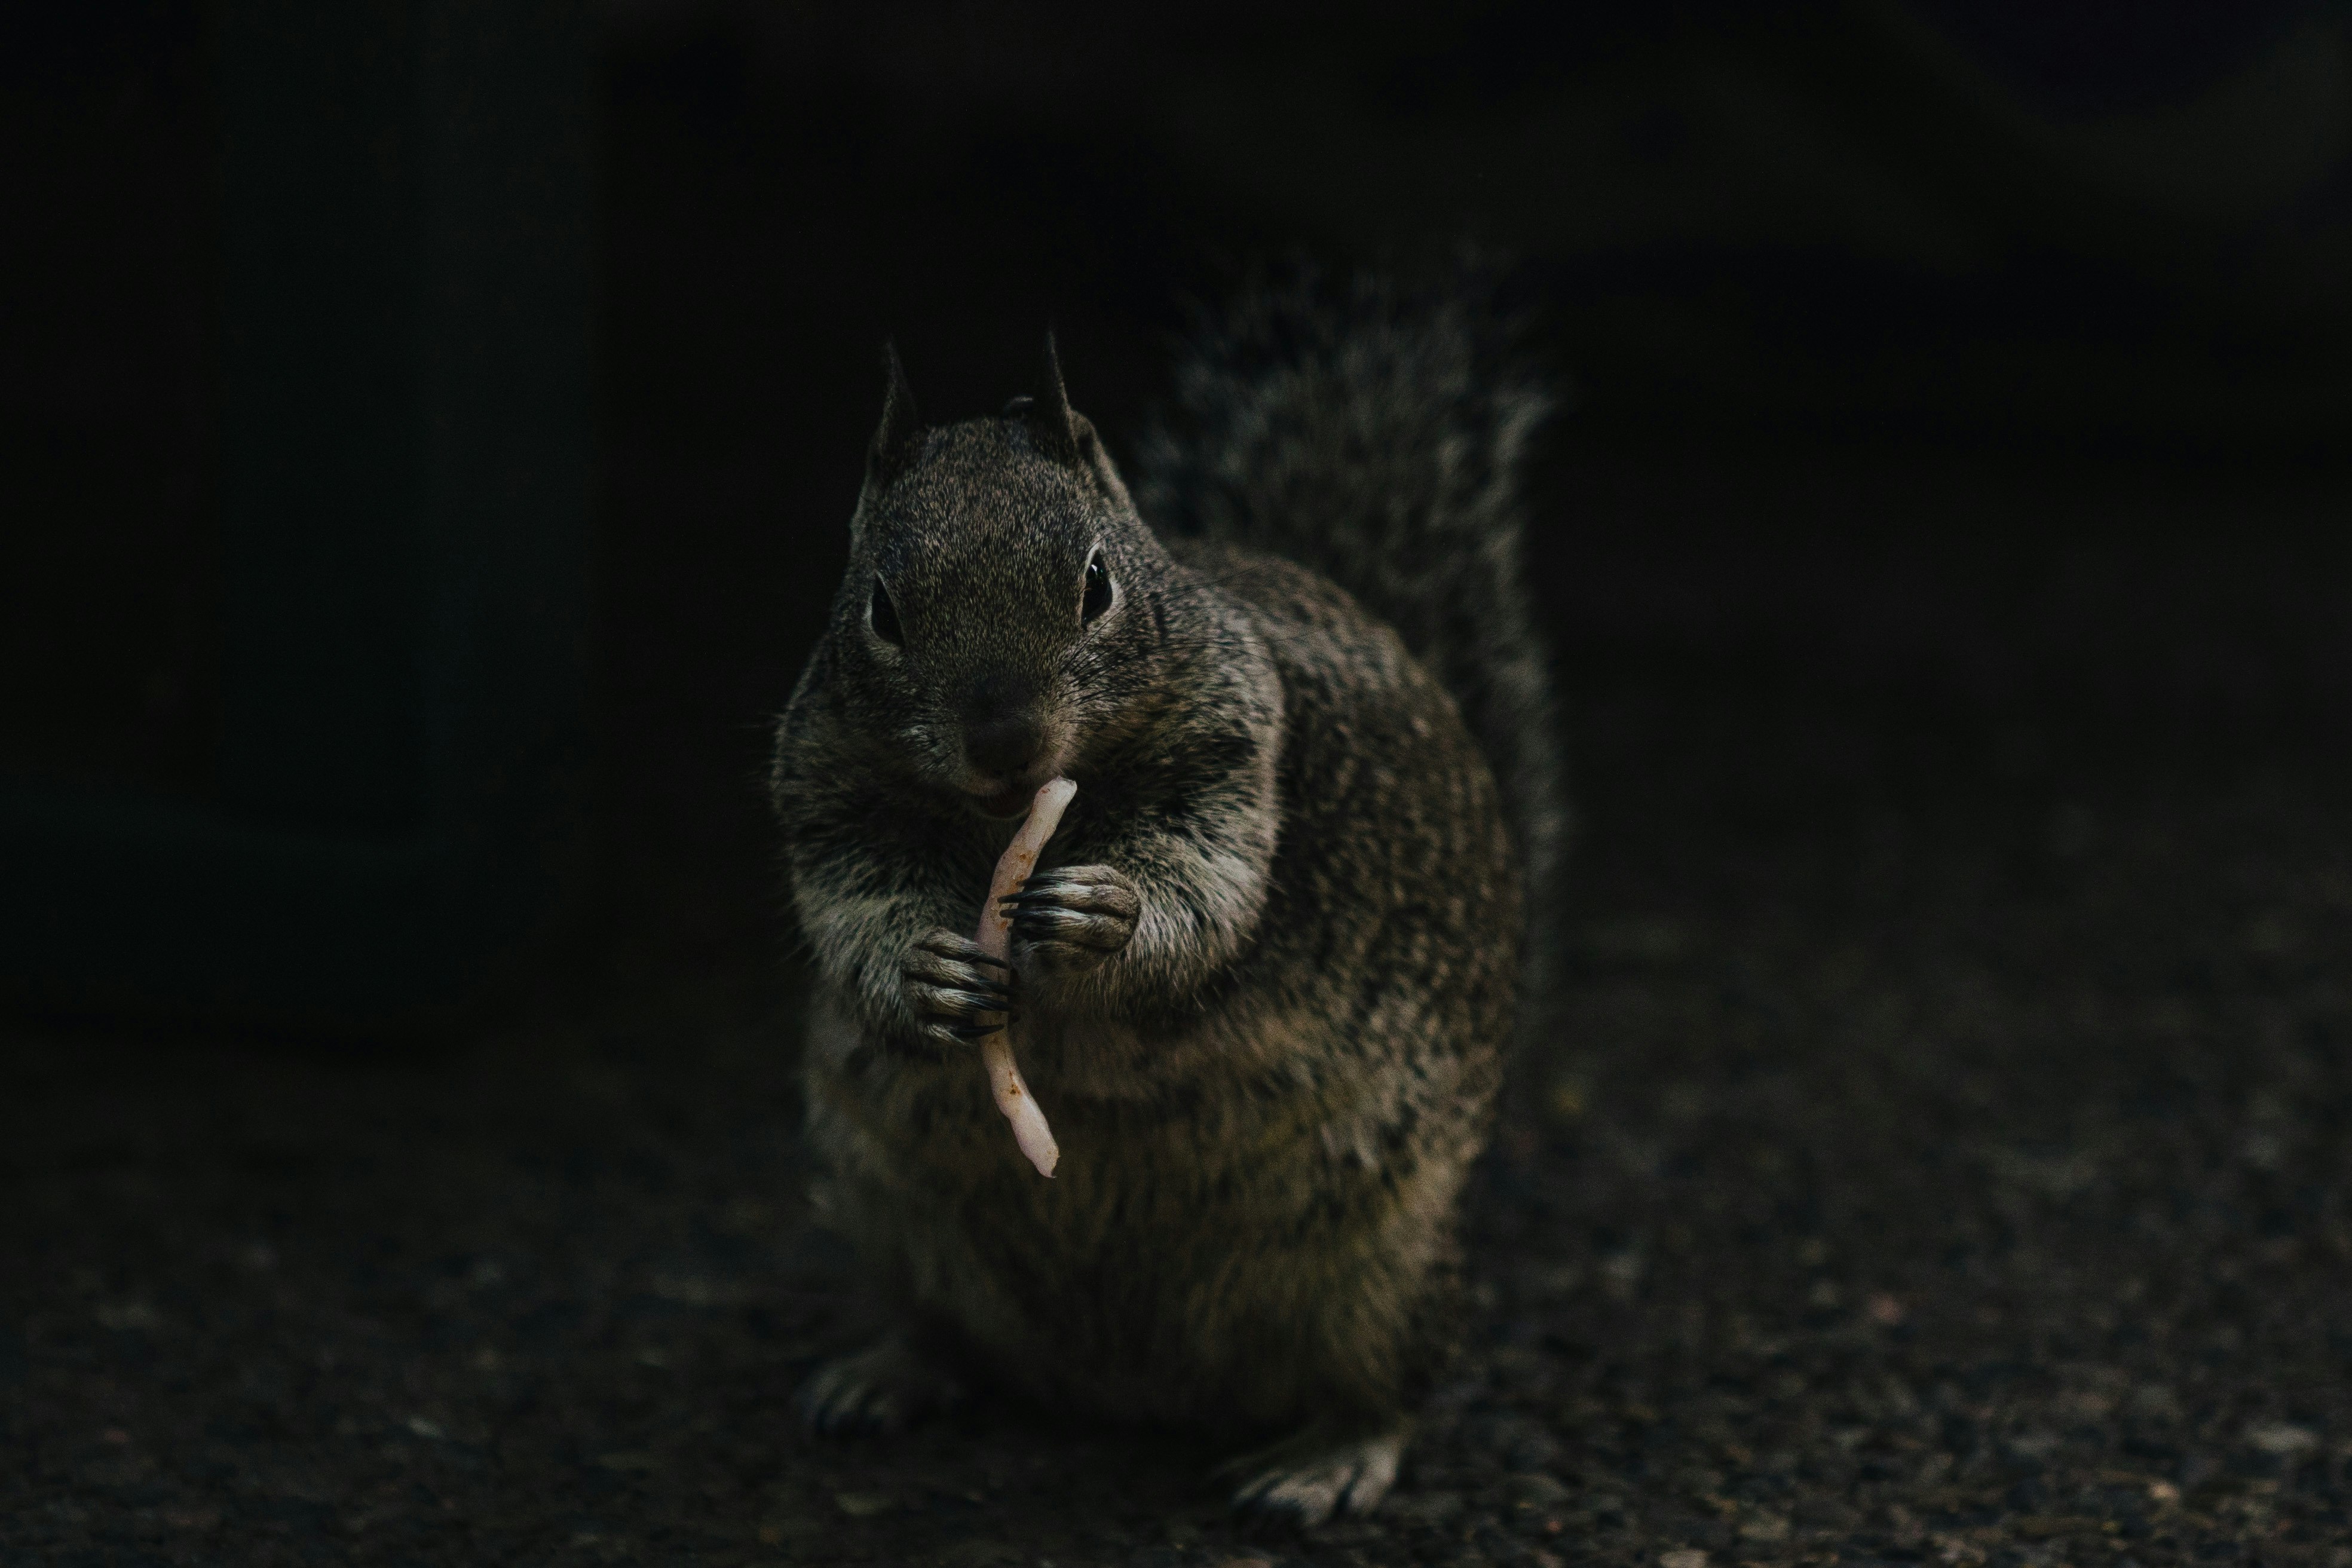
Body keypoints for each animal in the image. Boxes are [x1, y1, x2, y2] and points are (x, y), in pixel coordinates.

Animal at [769, 269, 1565, 1527]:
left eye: (1096, 581)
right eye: (881, 607)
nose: (1005, 740)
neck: (1010, 822)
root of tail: (1127, 1383)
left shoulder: (1240, 749)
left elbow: (1208, 882)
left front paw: (1106, 916)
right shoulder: (823, 788)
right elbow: (848, 902)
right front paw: (925, 971)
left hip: (1380, 1256)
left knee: (1390, 1379)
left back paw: (1328, 1453)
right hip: (892, 1209)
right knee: (954, 1335)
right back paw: (886, 1368)